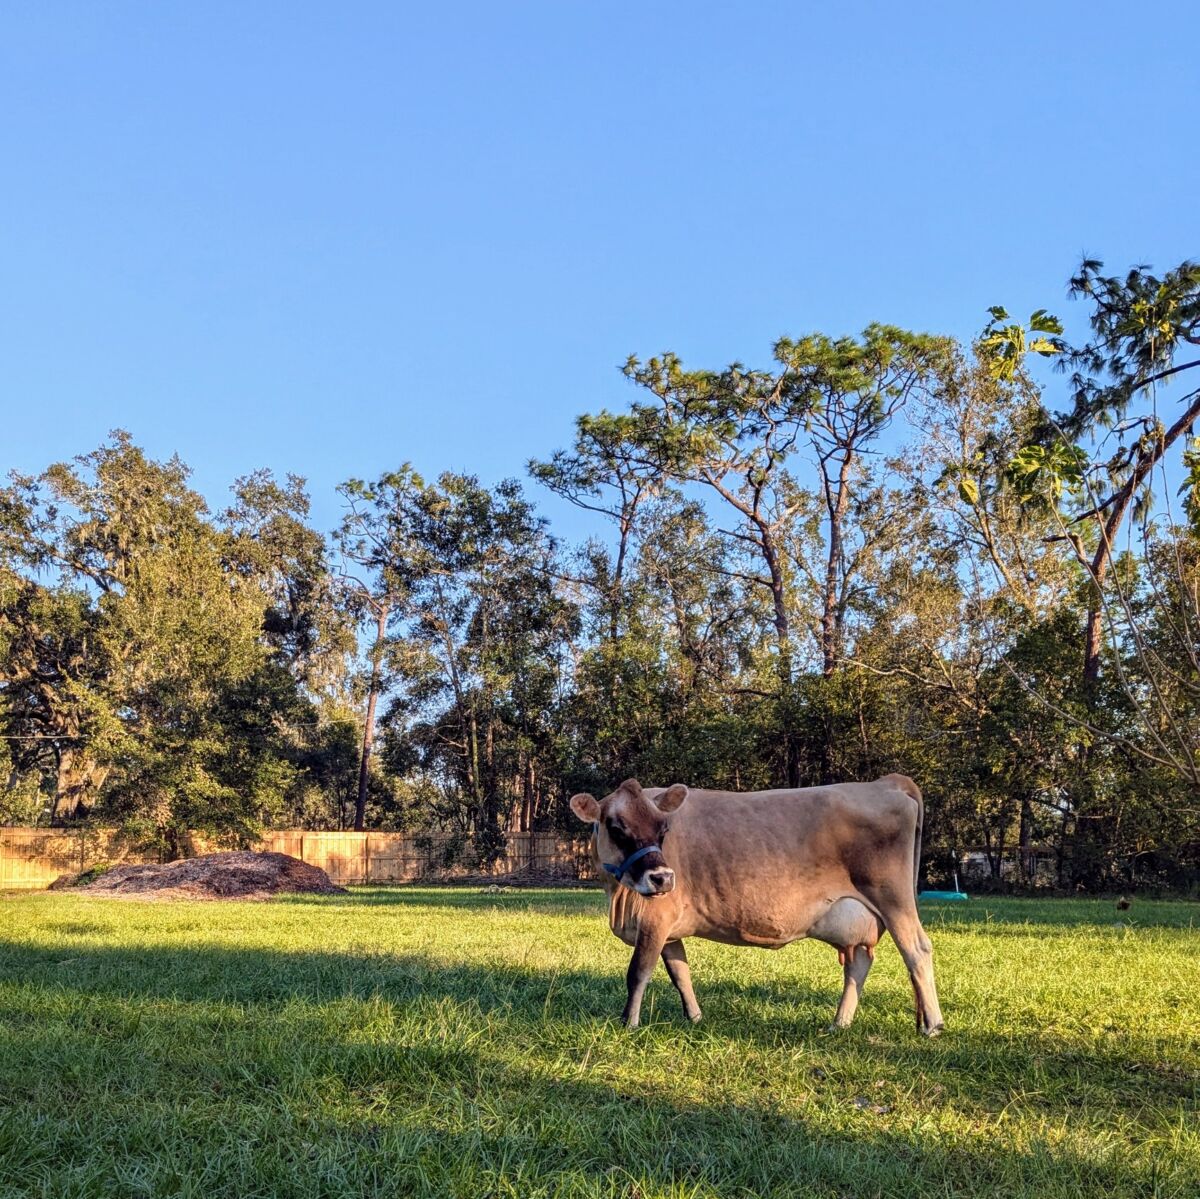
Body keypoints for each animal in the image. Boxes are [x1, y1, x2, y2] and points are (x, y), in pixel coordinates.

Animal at [569, 774, 945, 1036]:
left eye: (663, 829)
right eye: (616, 827)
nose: (662, 878)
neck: (618, 897)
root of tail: (886, 783)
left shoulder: (655, 918)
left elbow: (639, 972)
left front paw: (628, 1023)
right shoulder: (671, 928)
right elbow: (680, 974)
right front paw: (695, 1017)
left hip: (893, 898)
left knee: (917, 950)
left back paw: (932, 1025)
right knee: (859, 962)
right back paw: (839, 1024)